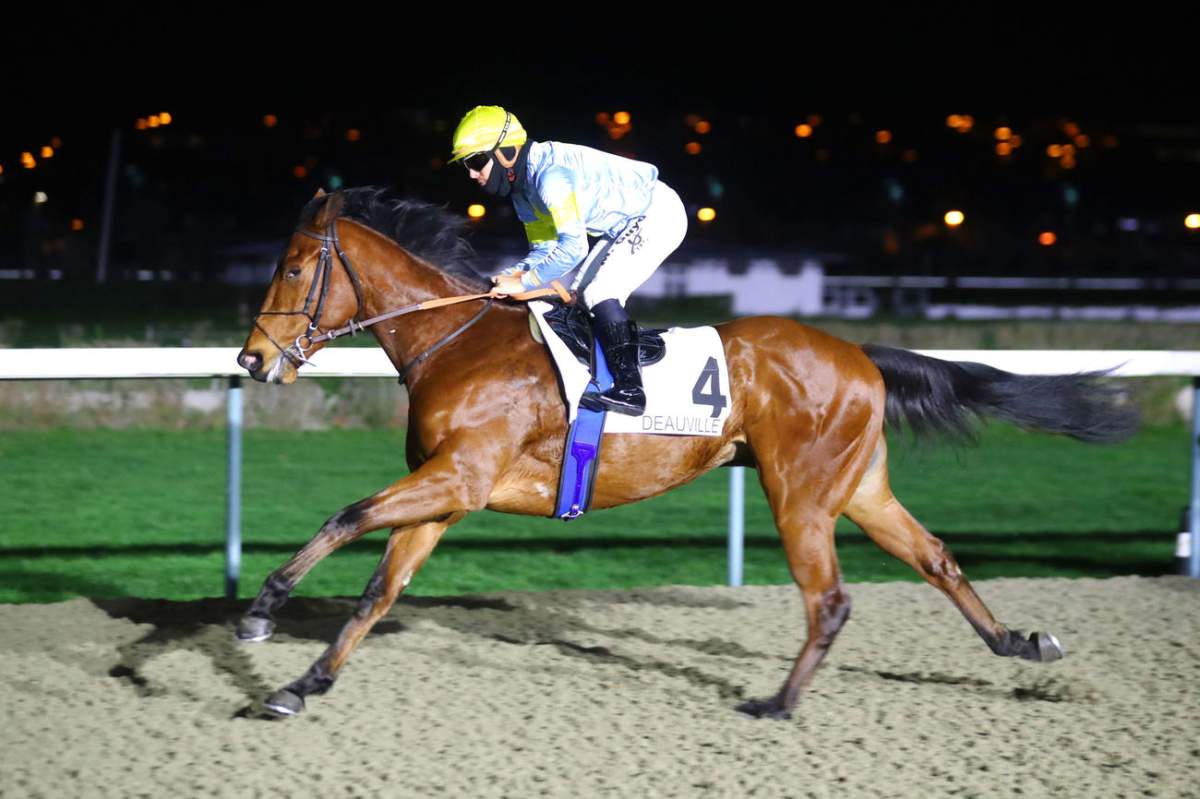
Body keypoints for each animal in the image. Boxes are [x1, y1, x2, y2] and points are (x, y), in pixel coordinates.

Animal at [235, 187, 1138, 719]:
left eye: (293, 268)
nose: (251, 359)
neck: (456, 339)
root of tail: (858, 352)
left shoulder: (456, 474)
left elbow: (346, 514)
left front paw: (262, 607)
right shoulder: (449, 489)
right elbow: (378, 589)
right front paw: (302, 684)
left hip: (800, 493)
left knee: (830, 599)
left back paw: (777, 702)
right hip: (861, 488)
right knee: (937, 557)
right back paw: (1018, 642)